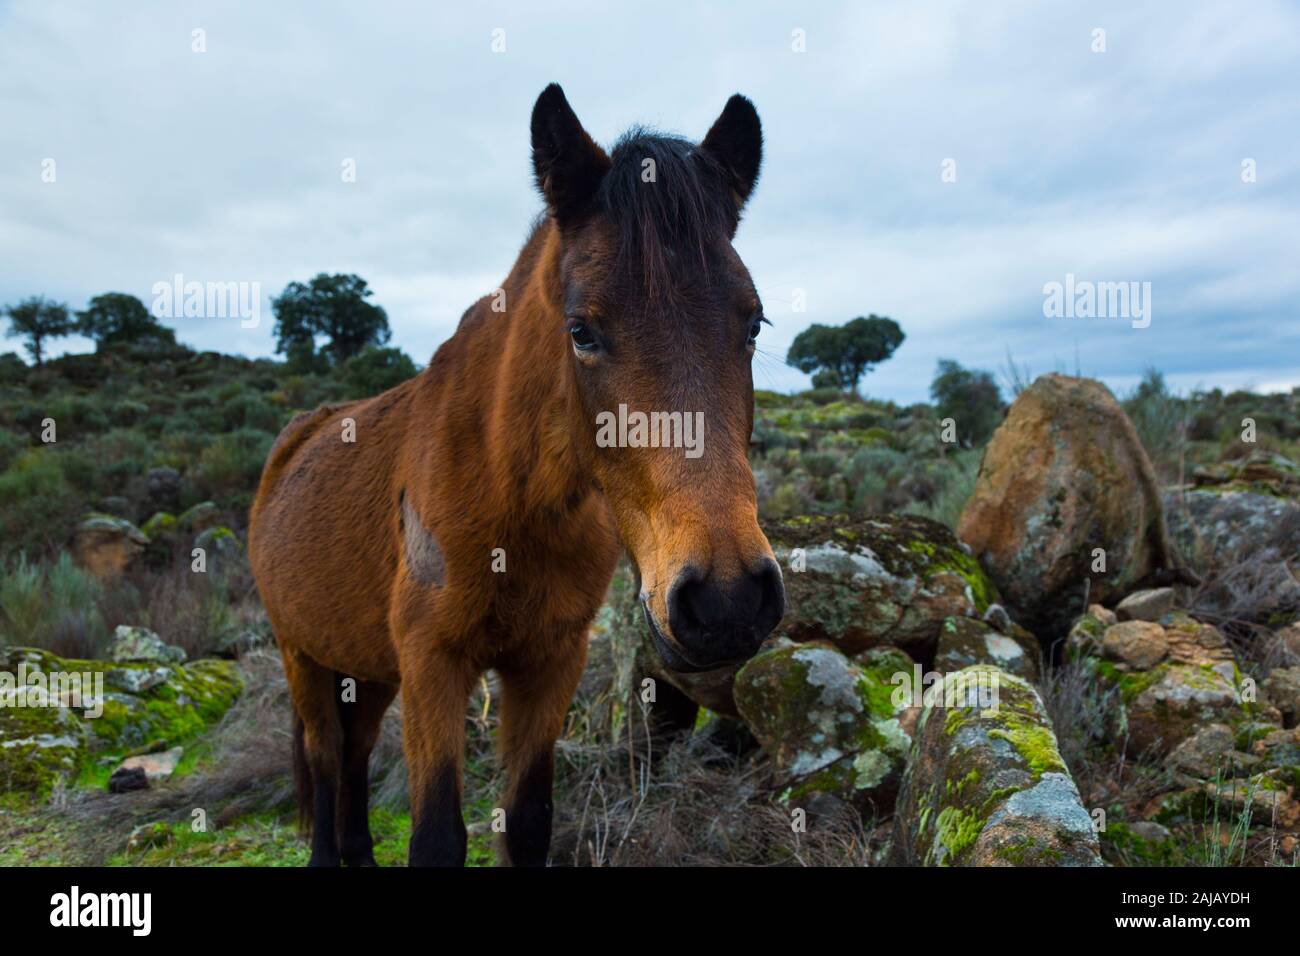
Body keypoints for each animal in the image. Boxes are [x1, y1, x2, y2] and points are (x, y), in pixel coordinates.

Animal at [248, 84, 785, 867]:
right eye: (581, 331)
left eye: (752, 324)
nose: (726, 600)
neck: (511, 497)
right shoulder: (433, 664)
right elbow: (437, 835)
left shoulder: (550, 662)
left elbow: (528, 820)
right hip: (304, 659)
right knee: (322, 761)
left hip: (365, 671)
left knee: (351, 760)